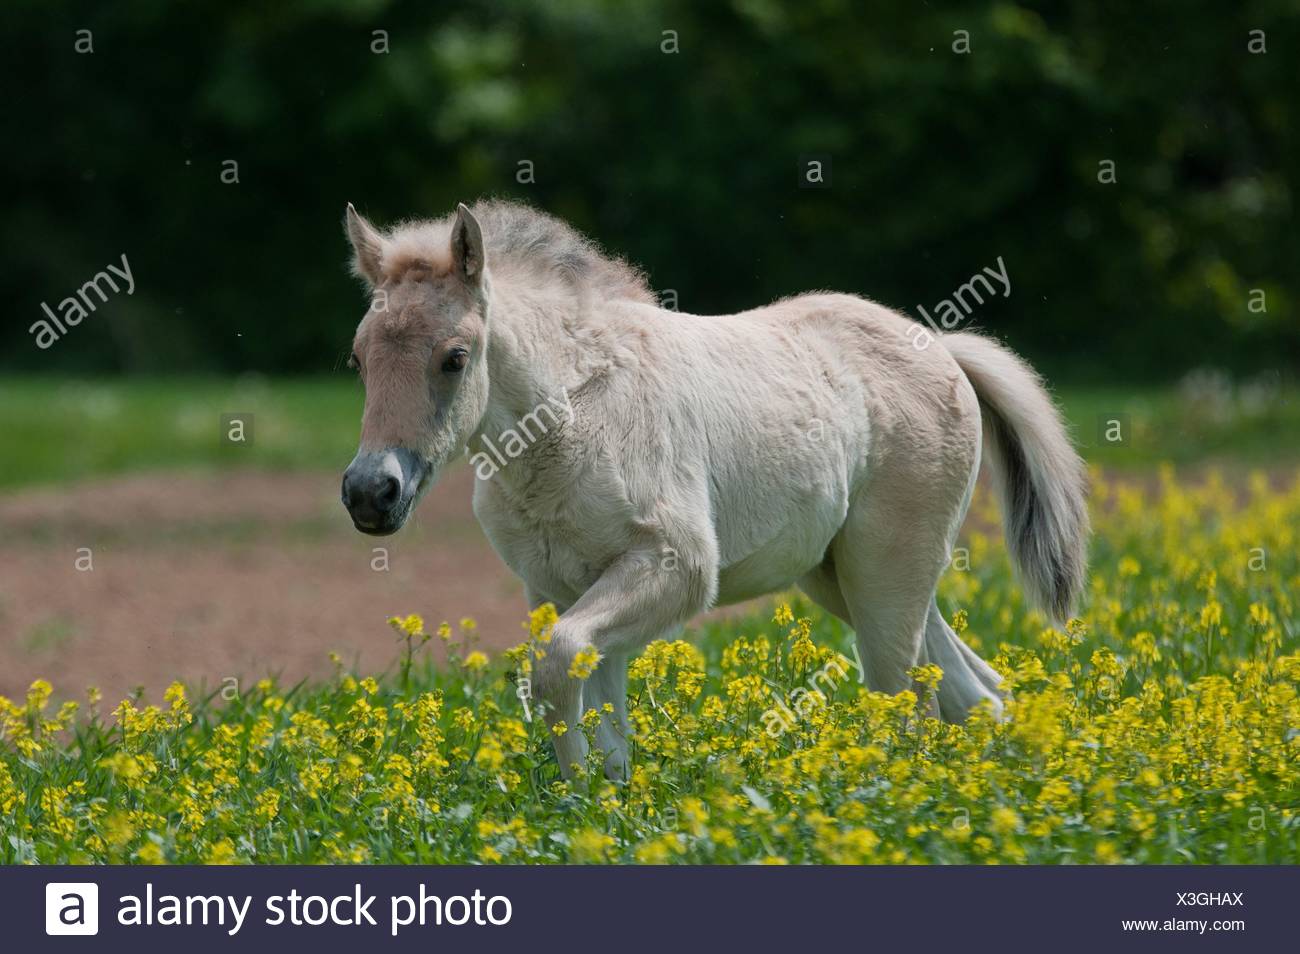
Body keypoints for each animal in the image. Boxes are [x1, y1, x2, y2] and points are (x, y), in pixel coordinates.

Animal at [339, 199, 1090, 780]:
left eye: (455, 358)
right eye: (358, 358)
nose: (371, 493)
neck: (575, 411)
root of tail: (939, 346)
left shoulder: (675, 567)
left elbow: (558, 666)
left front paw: (576, 795)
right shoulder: (559, 586)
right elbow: (598, 707)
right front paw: (603, 810)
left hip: (886, 574)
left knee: (912, 706)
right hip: (850, 578)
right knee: (977, 694)